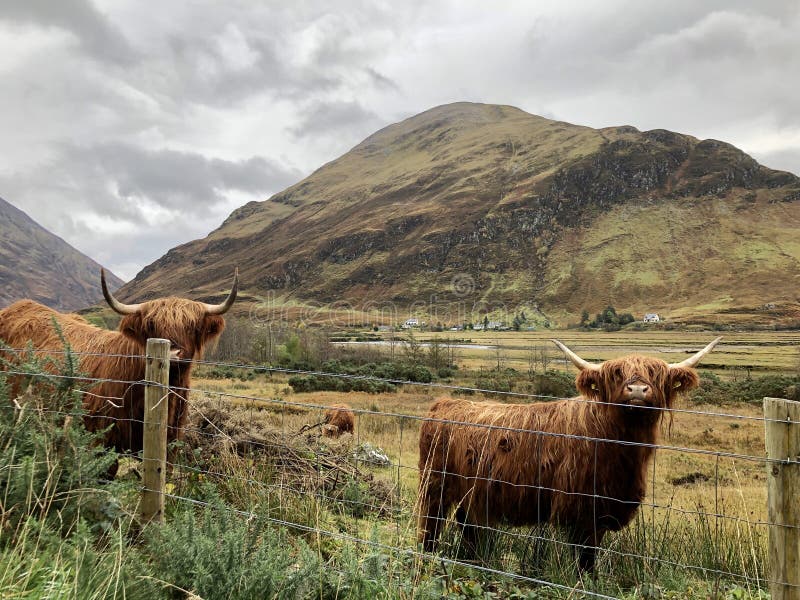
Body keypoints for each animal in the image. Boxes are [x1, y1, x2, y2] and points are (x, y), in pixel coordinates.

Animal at [417, 337, 720, 572]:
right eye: (617, 374)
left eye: (655, 375)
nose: (636, 389)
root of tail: (445, 403)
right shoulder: (581, 511)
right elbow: (584, 559)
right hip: (435, 485)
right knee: (431, 526)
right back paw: (427, 558)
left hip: (472, 493)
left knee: (467, 525)